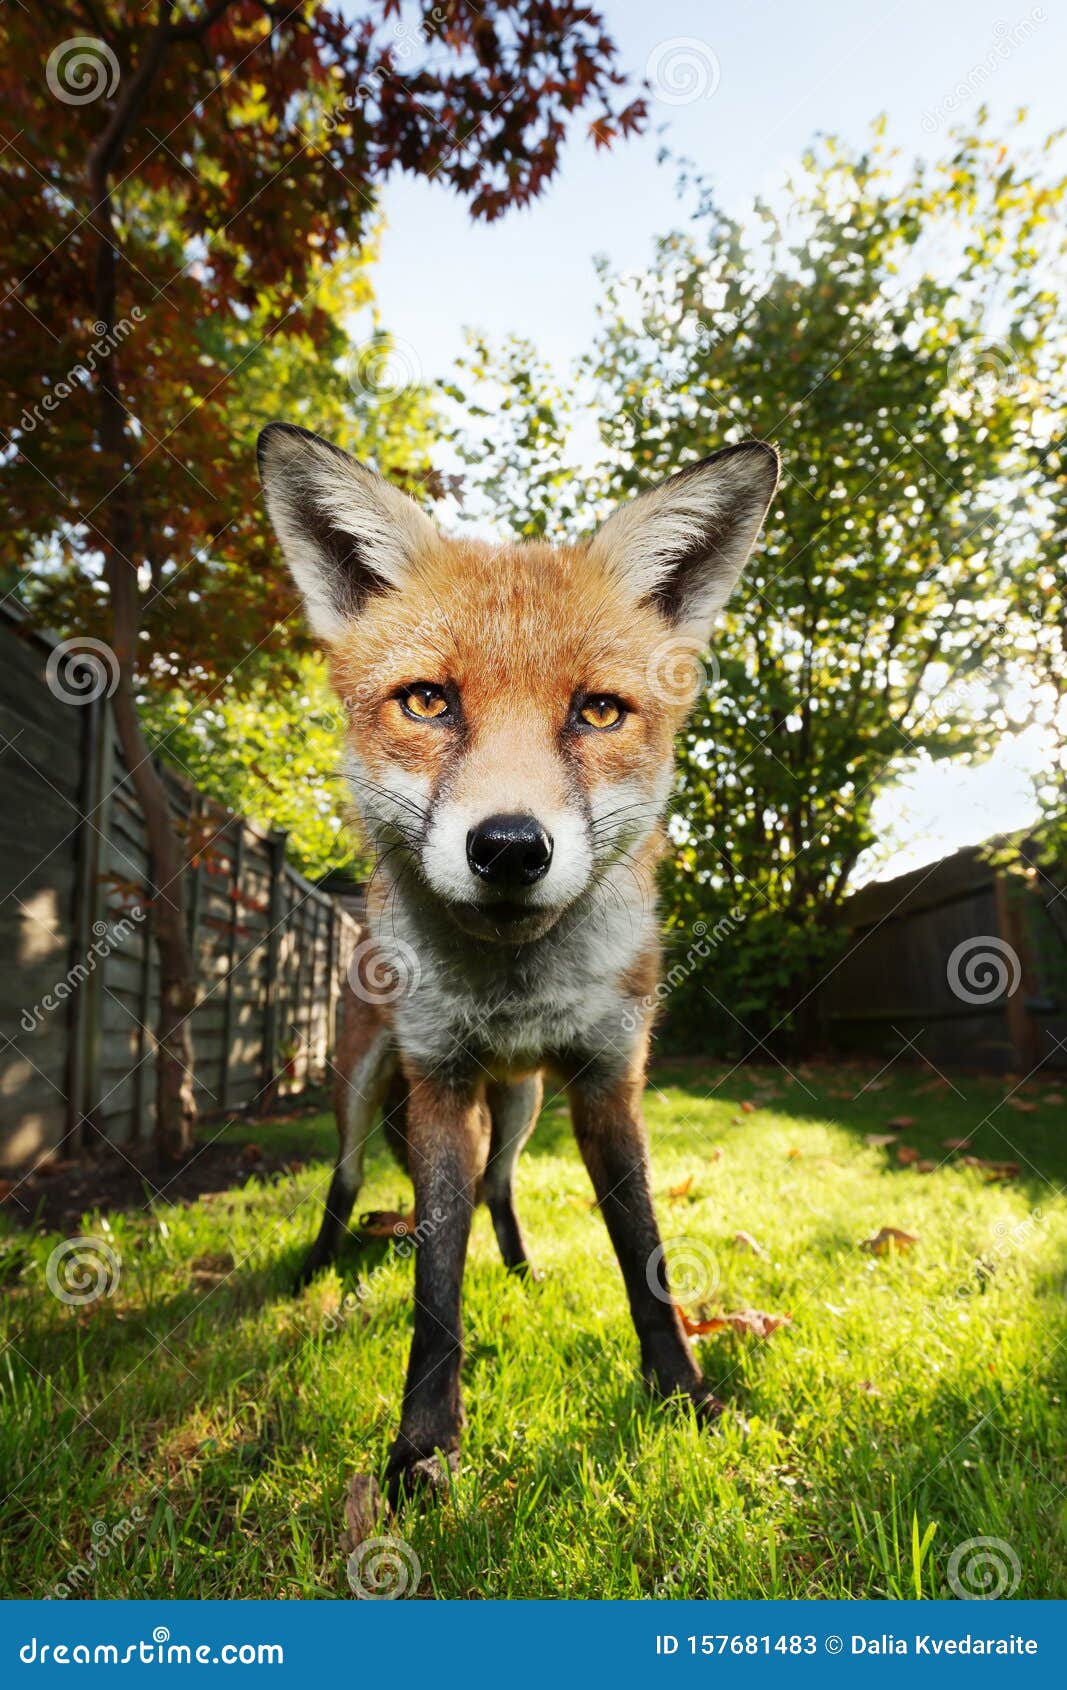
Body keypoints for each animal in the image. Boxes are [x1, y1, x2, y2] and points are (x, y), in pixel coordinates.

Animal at [257, 422, 779, 1501]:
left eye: (598, 712)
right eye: (427, 701)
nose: (506, 847)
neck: (513, 989)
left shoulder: (606, 1079)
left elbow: (643, 1254)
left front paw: (684, 1397)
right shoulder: (440, 1082)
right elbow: (433, 1282)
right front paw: (424, 1445)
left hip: (525, 1102)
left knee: (499, 1187)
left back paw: (522, 1270)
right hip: (367, 1087)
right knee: (344, 1183)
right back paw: (316, 1269)